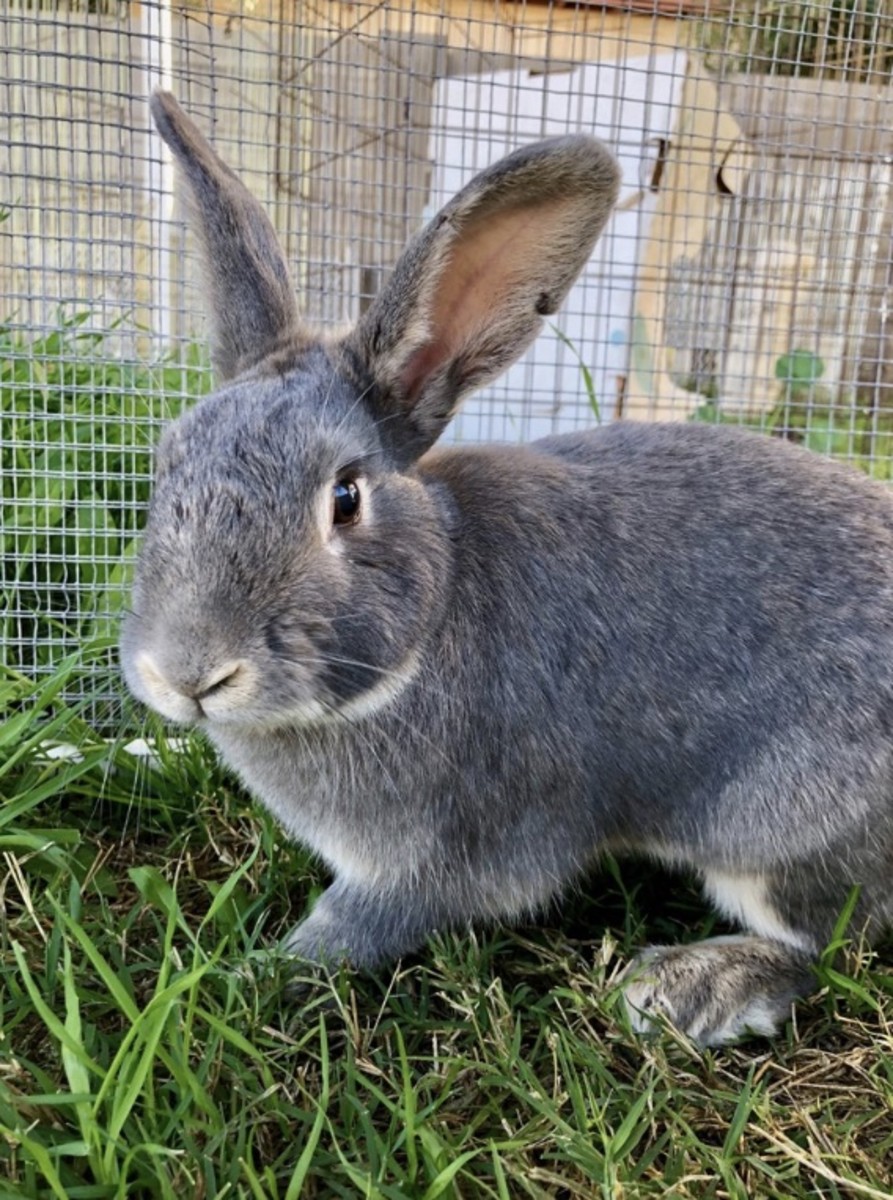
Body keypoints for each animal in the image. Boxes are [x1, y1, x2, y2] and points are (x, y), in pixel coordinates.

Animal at [121, 90, 893, 1047]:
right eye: (165, 463)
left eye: (345, 496)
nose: (187, 673)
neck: (428, 622)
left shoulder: (435, 858)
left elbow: (355, 928)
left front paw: (247, 976)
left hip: (774, 826)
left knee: (831, 943)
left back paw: (691, 986)